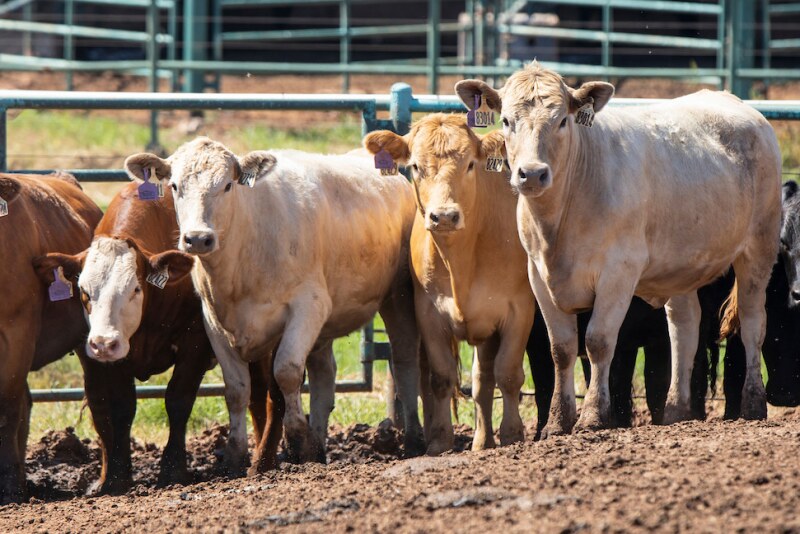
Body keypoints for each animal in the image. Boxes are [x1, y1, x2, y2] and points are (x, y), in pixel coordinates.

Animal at [33, 183, 285, 494]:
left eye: (135, 289)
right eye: (84, 291)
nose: (102, 344)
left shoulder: (194, 343)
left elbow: (178, 400)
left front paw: (173, 469)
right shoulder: (118, 354)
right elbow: (122, 408)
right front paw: (118, 476)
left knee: (264, 392)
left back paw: (264, 458)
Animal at [123, 137, 425, 474]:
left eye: (228, 185)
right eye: (175, 186)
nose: (198, 239)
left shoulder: (307, 307)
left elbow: (287, 374)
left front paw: (296, 444)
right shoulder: (213, 322)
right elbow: (237, 389)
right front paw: (235, 457)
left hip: (398, 296)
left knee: (405, 361)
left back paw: (413, 441)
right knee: (324, 375)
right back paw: (319, 448)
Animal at [364, 115, 534, 454]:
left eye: (470, 164)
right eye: (415, 166)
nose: (443, 216)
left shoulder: (519, 310)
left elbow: (508, 374)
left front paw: (512, 434)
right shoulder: (428, 314)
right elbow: (441, 377)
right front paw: (440, 441)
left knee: (488, 377)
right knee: (480, 380)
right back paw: (480, 440)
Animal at [456, 63, 781, 435]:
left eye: (562, 121)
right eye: (507, 120)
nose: (532, 174)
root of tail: (739, 105)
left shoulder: (618, 273)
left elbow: (597, 342)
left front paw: (593, 416)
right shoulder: (538, 274)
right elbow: (561, 349)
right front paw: (557, 422)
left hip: (759, 247)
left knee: (753, 322)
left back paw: (753, 405)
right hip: (680, 265)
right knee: (684, 328)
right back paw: (675, 411)